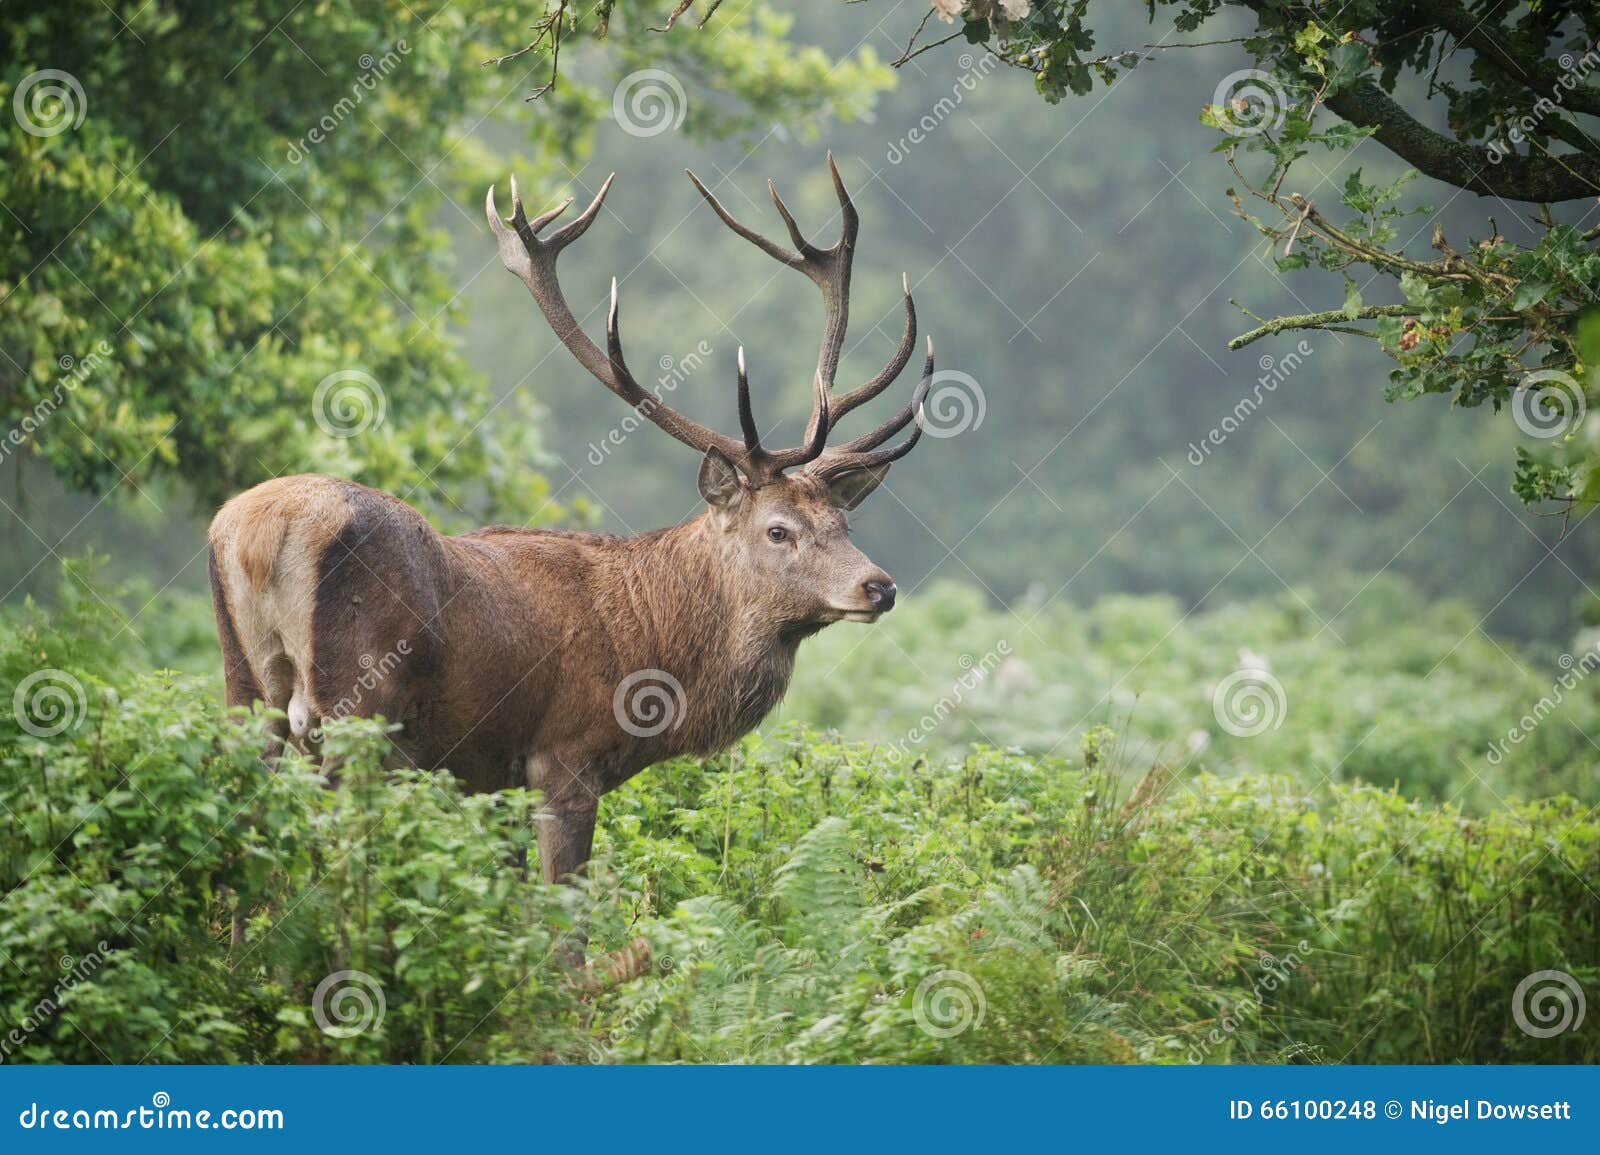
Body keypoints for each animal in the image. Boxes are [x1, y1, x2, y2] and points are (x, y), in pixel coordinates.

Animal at [207, 155, 937, 891]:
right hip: (352, 704)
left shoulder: (489, 777)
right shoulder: (564, 757)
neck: (654, 646)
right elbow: (565, 908)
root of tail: (261, 531)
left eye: (842, 523)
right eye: (778, 529)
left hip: (244, 685)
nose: (879, 586)